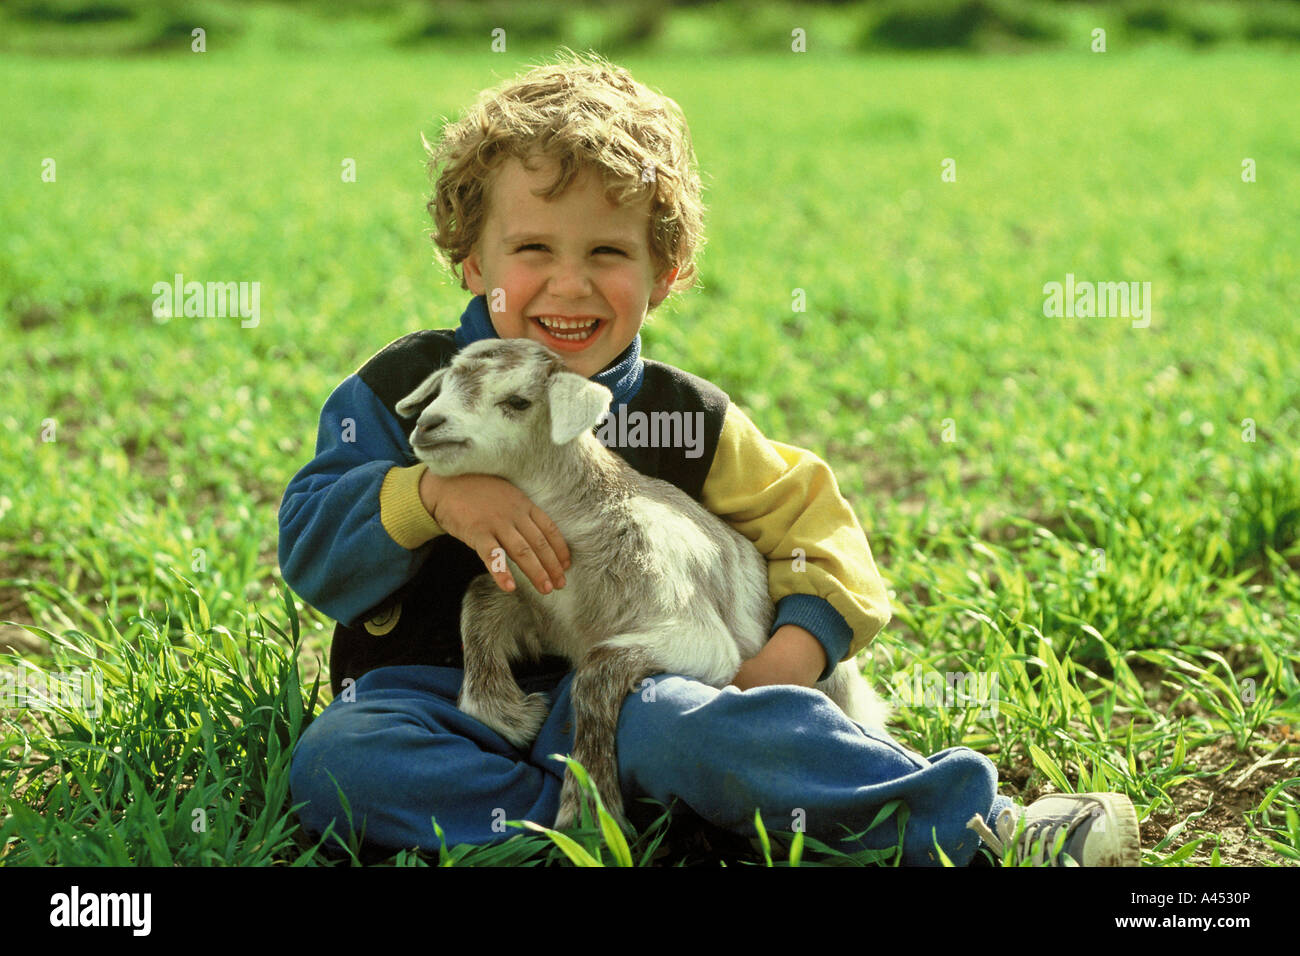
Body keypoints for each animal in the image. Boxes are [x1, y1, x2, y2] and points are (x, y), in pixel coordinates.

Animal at [395, 338, 889, 831]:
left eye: (517, 401)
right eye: (446, 382)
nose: (428, 425)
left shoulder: (693, 630)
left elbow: (597, 668)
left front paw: (587, 810)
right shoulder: (547, 609)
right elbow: (478, 600)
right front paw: (513, 714)